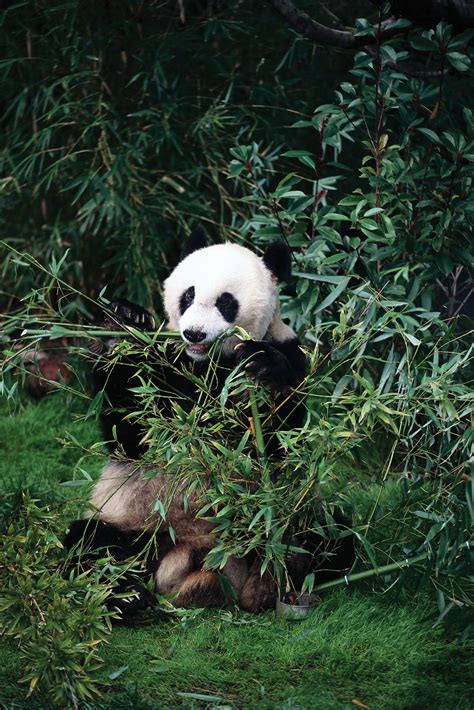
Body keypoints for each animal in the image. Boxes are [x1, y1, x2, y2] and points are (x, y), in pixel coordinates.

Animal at [66, 227, 354, 615]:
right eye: (188, 295)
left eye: (225, 302)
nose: (194, 334)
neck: (208, 365)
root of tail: (197, 559)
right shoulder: (168, 364)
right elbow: (132, 433)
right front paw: (125, 323)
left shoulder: (292, 359)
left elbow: (282, 442)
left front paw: (262, 365)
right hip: (138, 525)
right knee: (92, 543)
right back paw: (128, 597)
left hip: (290, 514)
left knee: (327, 532)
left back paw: (277, 578)